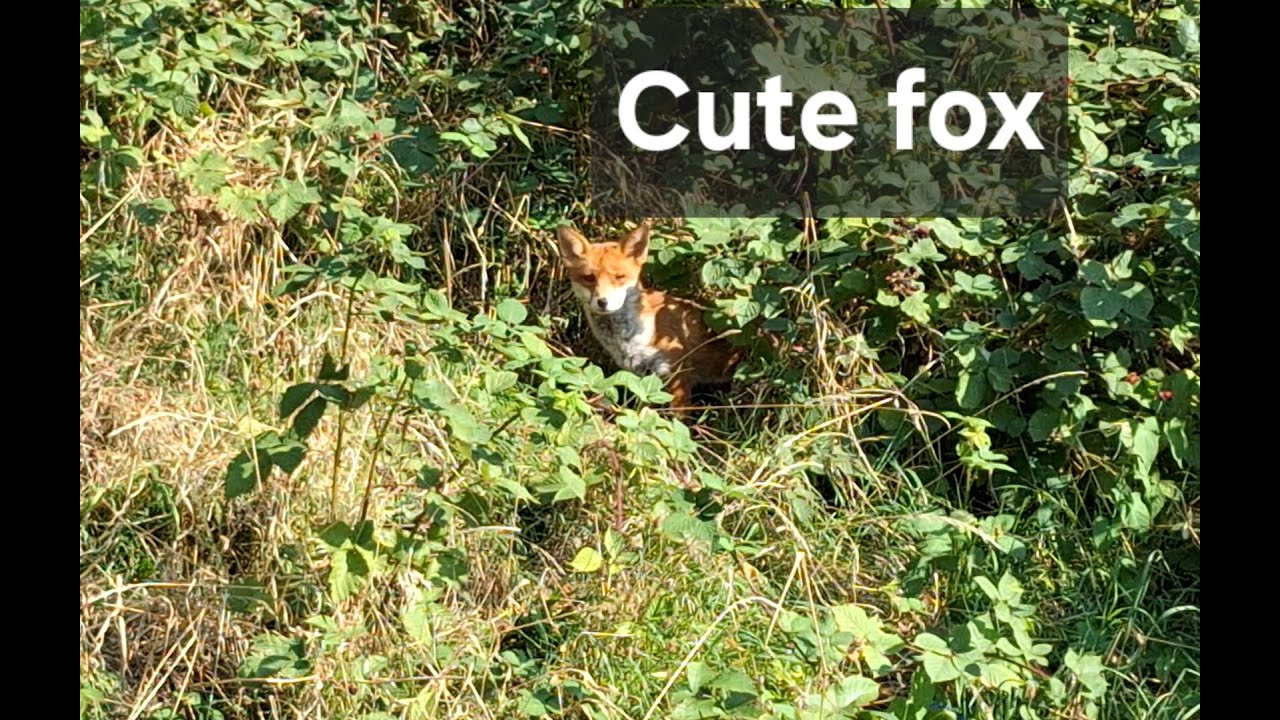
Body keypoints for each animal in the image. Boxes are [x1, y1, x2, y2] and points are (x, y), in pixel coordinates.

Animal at [556, 223, 742, 417]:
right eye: (589, 278)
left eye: (619, 277)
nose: (603, 302)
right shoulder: (643, 376)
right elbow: (643, 407)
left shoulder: (677, 371)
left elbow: (677, 416)